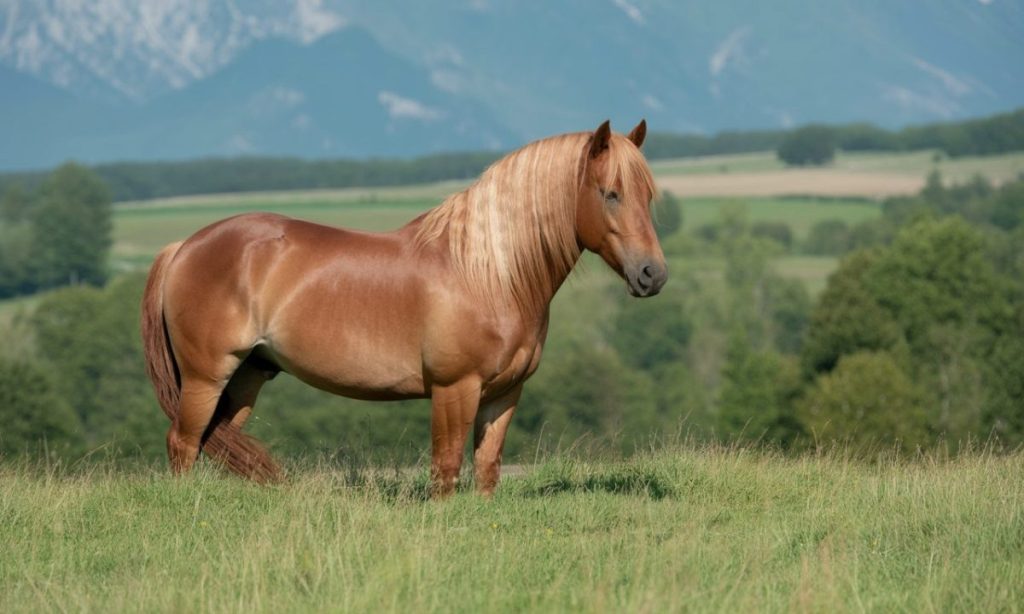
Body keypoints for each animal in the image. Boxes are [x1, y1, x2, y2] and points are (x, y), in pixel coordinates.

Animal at [140, 119, 667, 496]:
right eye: (611, 194)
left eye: (648, 195)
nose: (653, 275)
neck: (488, 275)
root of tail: (184, 246)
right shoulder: (455, 390)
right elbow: (446, 468)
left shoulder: (504, 394)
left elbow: (487, 469)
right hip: (207, 376)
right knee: (183, 442)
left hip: (250, 375)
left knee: (212, 441)